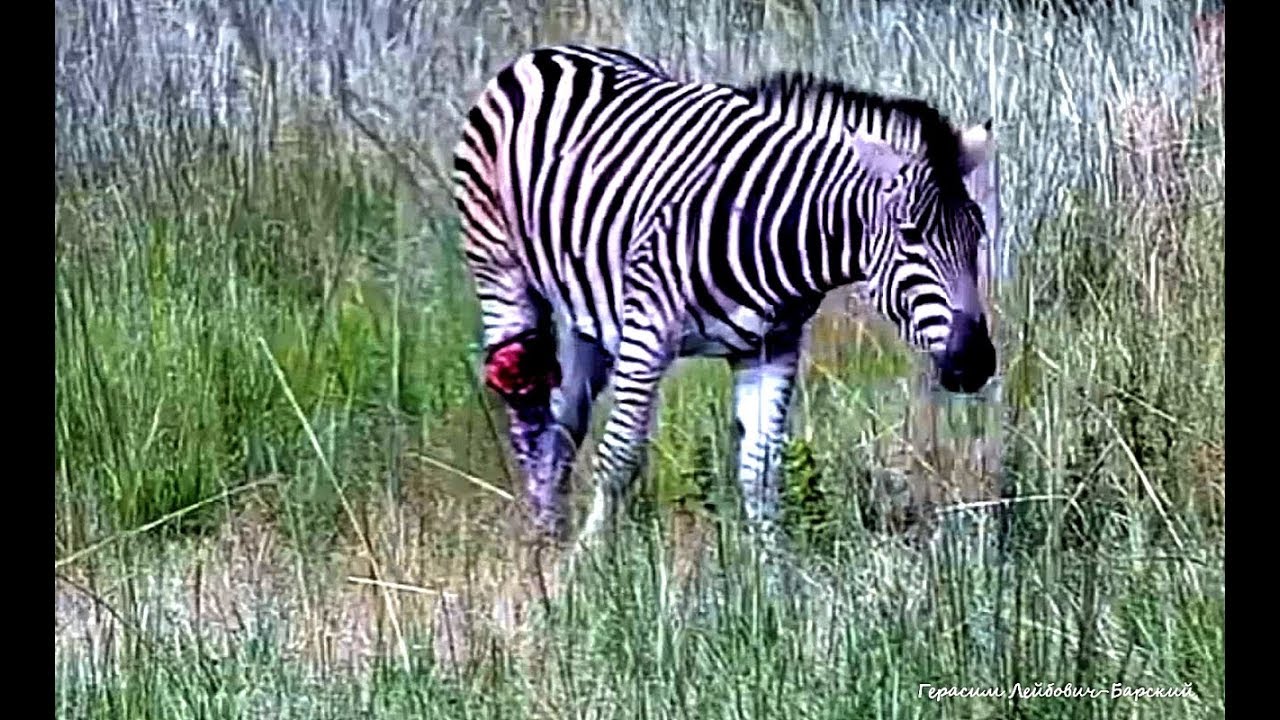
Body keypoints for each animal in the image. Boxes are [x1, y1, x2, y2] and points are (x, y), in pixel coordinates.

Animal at [451, 45, 998, 558]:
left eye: (977, 235)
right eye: (911, 236)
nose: (973, 363)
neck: (774, 224)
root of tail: (552, 52)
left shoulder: (772, 346)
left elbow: (761, 469)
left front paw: (774, 572)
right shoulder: (648, 332)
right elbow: (620, 457)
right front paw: (584, 568)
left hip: (590, 316)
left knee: (566, 421)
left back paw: (552, 524)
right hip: (501, 271)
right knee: (525, 400)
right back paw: (544, 538)